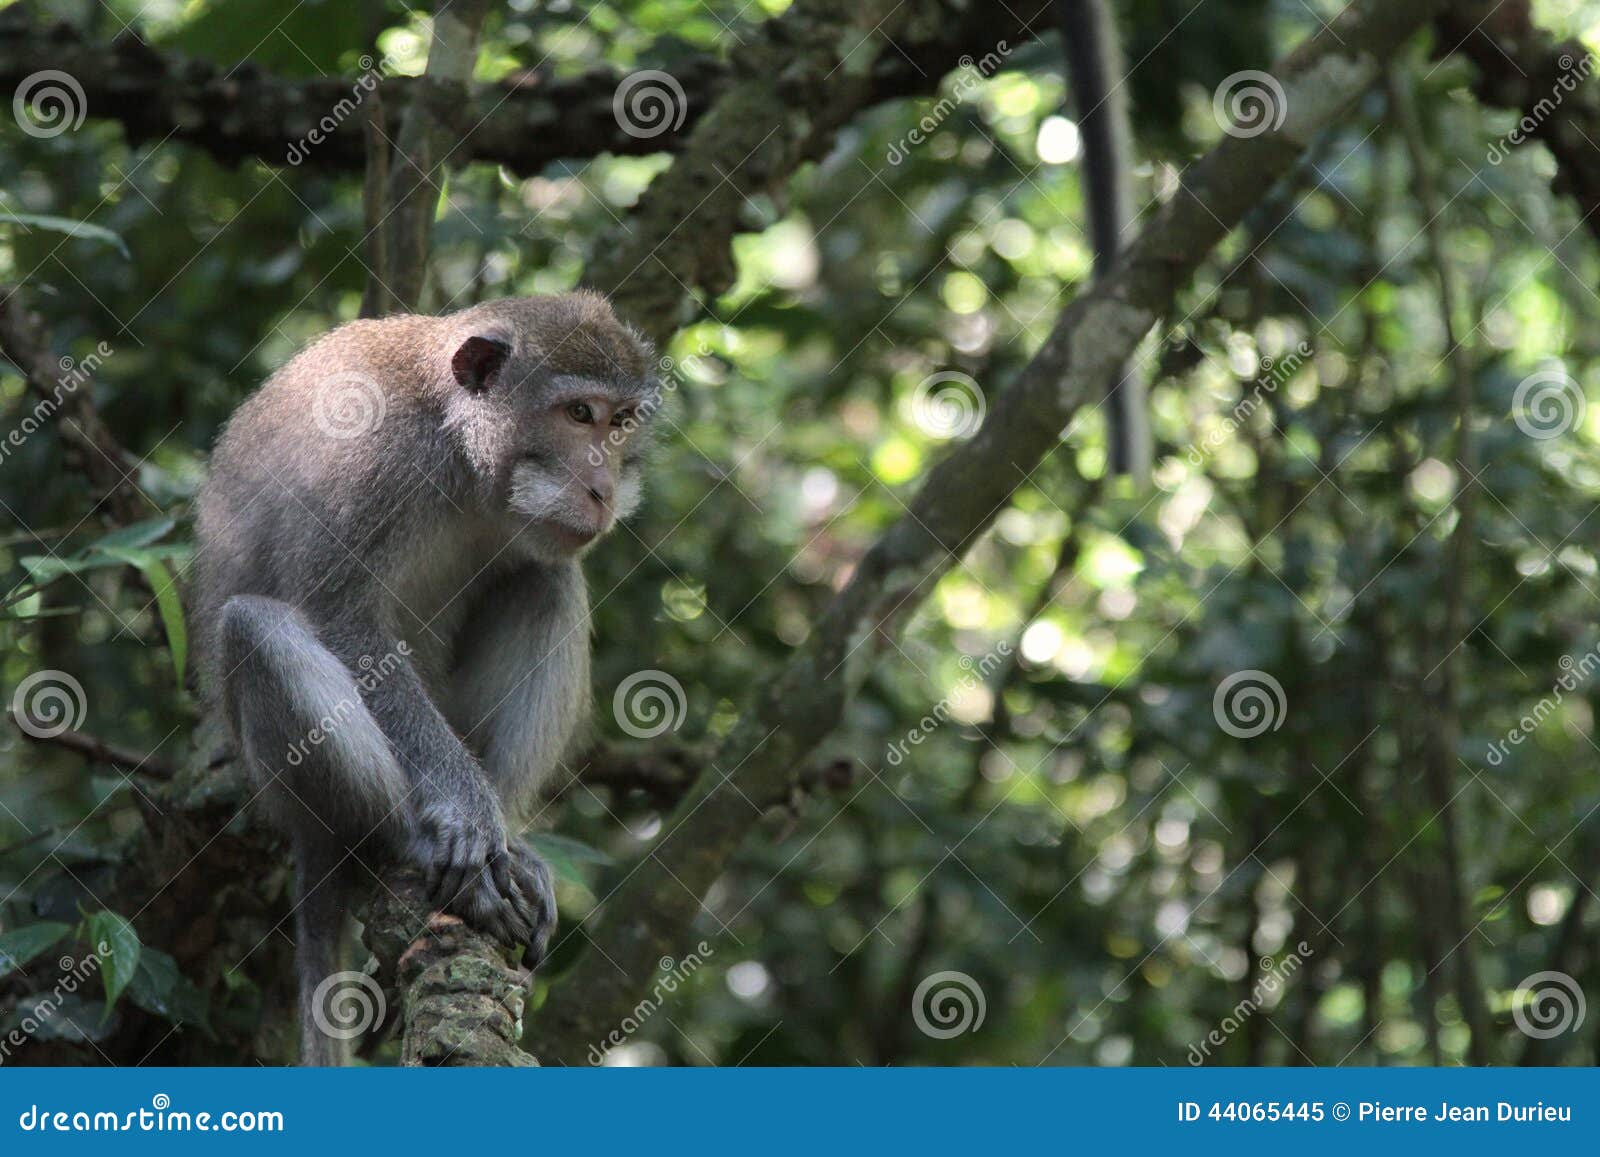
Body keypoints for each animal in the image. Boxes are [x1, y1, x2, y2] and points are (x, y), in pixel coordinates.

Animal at [192, 292, 659, 1065]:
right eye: (579, 413)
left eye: (620, 423)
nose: (602, 488)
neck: (457, 445)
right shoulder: (374, 456)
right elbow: (343, 617)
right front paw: (467, 815)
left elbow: (540, 569)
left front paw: (496, 831)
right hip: (284, 787)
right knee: (255, 629)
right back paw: (400, 837)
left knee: (547, 581)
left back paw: (510, 848)